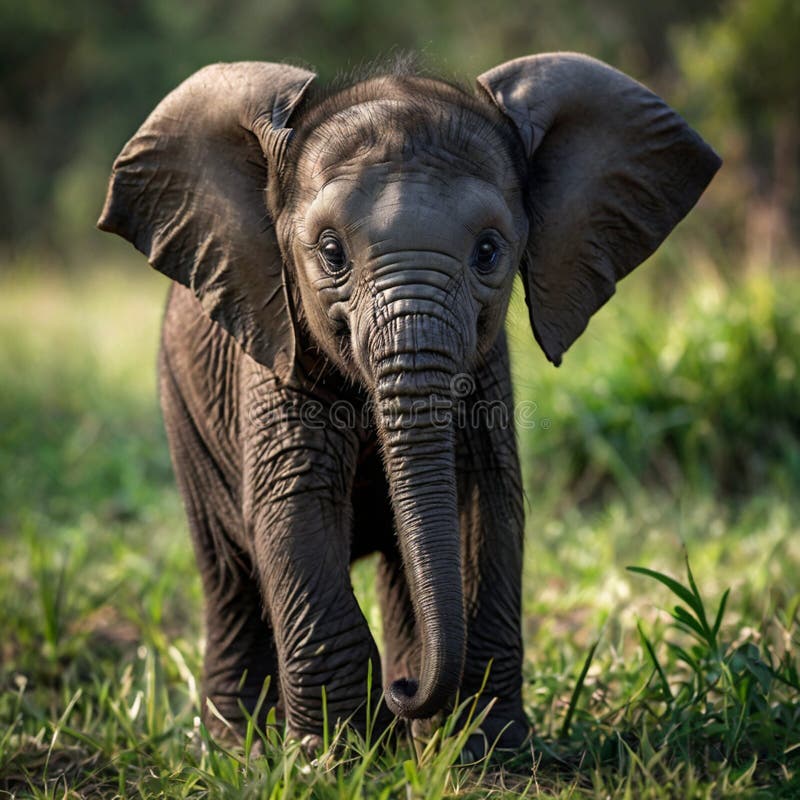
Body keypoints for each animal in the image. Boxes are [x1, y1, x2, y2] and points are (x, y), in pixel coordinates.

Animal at [98, 53, 720, 754]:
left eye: (488, 251)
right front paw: (336, 757)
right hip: (182, 407)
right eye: (331, 253)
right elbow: (295, 504)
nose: (406, 693)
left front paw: (485, 749)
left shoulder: (484, 369)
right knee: (228, 575)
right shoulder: (275, 346)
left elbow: (481, 500)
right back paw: (239, 744)